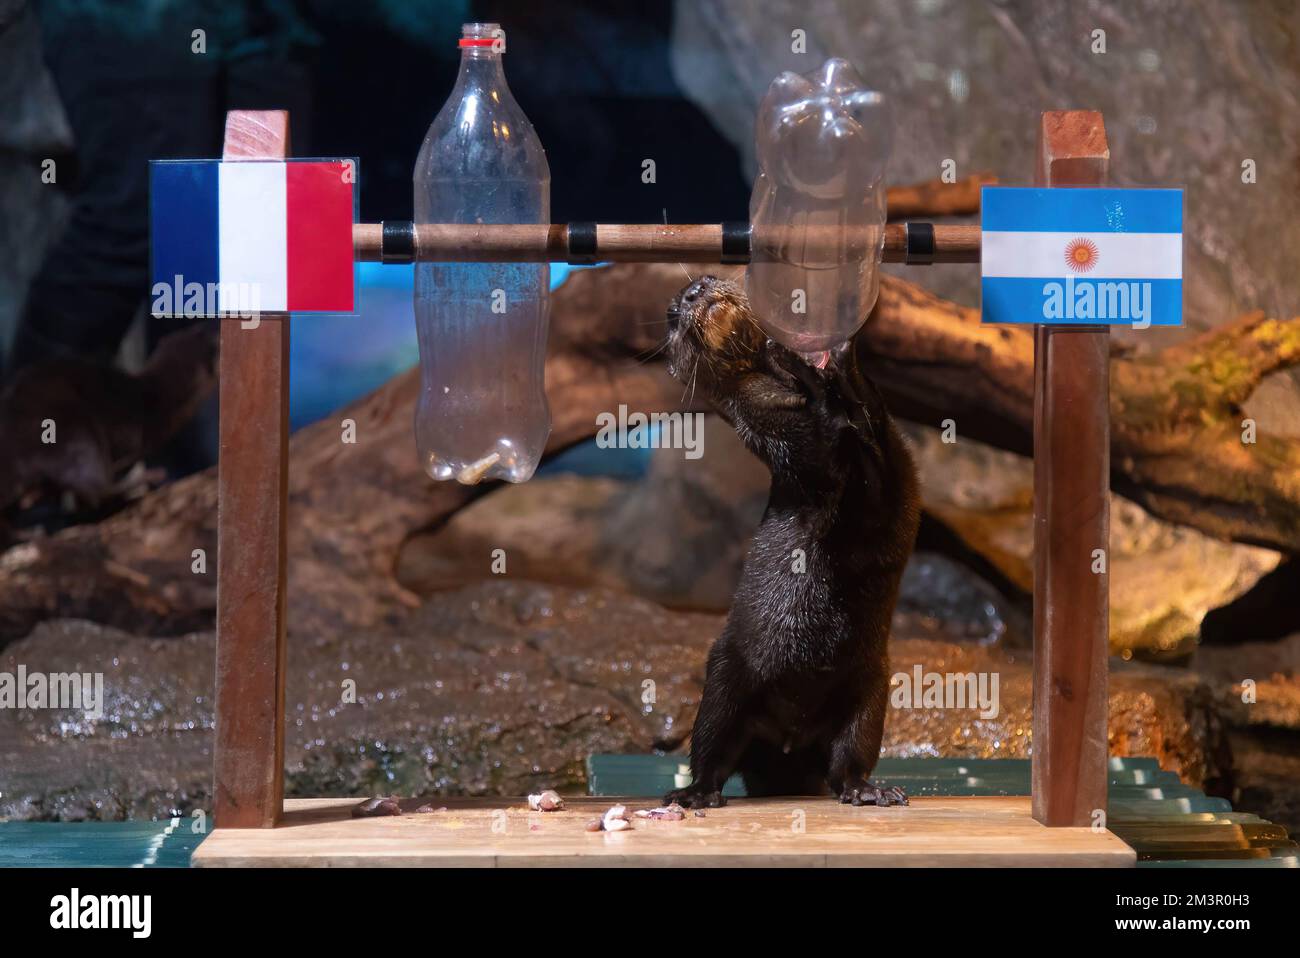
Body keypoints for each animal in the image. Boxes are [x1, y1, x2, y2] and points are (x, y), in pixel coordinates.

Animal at [662, 274, 920, 808]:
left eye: (708, 278)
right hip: (725, 679)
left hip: (871, 690)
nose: (695, 290)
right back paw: (694, 794)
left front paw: (829, 358)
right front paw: (811, 374)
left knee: (848, 761)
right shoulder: (796, 453)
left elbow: (875, 434)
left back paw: (871, 790)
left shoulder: (892, 471)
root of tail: (786, 745)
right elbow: (832, 446)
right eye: (673, 315)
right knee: (712, 748)